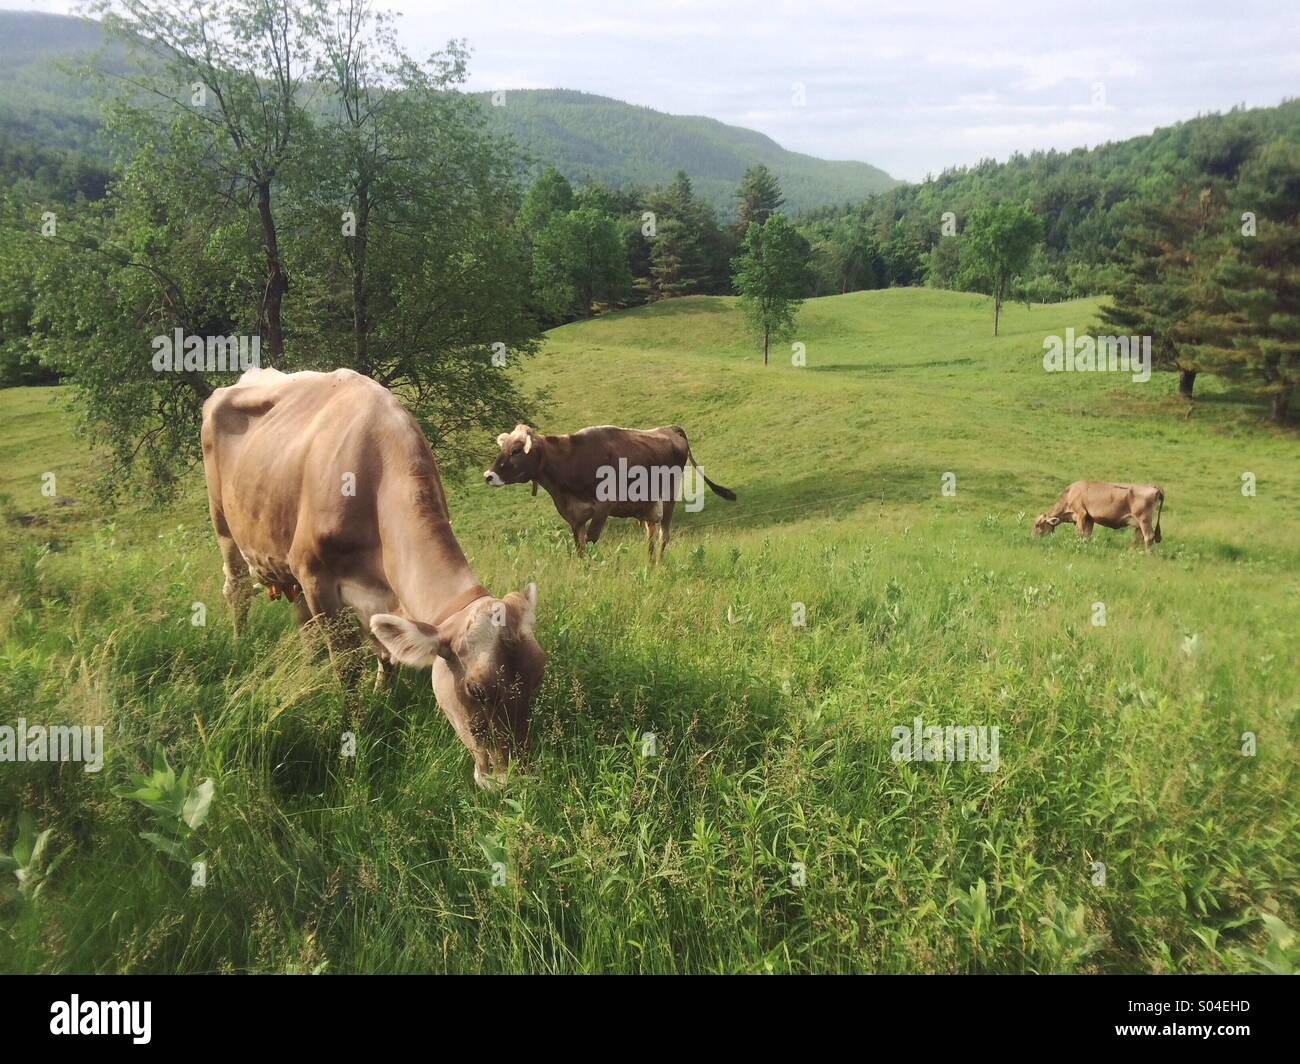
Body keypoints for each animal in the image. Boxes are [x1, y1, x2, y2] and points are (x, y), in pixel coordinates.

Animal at [201, 367, 545, 789]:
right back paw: (239, 643)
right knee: (236, 588)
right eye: (477, 690)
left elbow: (386, 651)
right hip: (223, 522)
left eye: (538, 675)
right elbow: (348, 667)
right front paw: (354, 739)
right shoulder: (316, 576)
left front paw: (382, 696)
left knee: (303, 624)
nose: (515, 780)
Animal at [484, 423, 735, 562]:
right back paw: (649, 563)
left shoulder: (602, 507)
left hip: (669, 497)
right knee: (651, 535)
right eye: (502, 448)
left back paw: (659, 566)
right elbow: (580, 547)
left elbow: (592, 541)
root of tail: (670, 429)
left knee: (664, 536)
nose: (488, 475)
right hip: (648, 504)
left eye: (516, 450)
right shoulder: (574, 516)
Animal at [1033, 481, 1165, 549]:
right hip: (1138, 523)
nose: (1033, 538)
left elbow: (1080, 533)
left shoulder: (1081, 514)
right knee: (1139, 538)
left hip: (1144, 520)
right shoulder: (1089, 519)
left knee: (1149, 537)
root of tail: (1154, 487)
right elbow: (1087, 535)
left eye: (1038, 525)